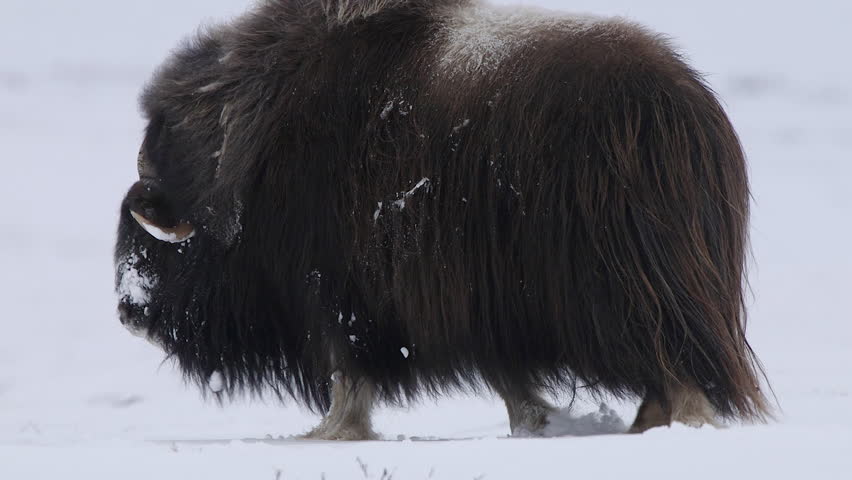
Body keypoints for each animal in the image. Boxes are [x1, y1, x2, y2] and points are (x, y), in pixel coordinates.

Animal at [115, 0, 771, 440]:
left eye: (151, 223)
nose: (127, 313)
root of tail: (680, 111)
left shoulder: (336, 290)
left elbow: (347, 370)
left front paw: (329, 433)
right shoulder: (481, 306)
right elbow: (508, 378)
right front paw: (535, 422)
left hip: (626, 289)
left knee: (679, 369)